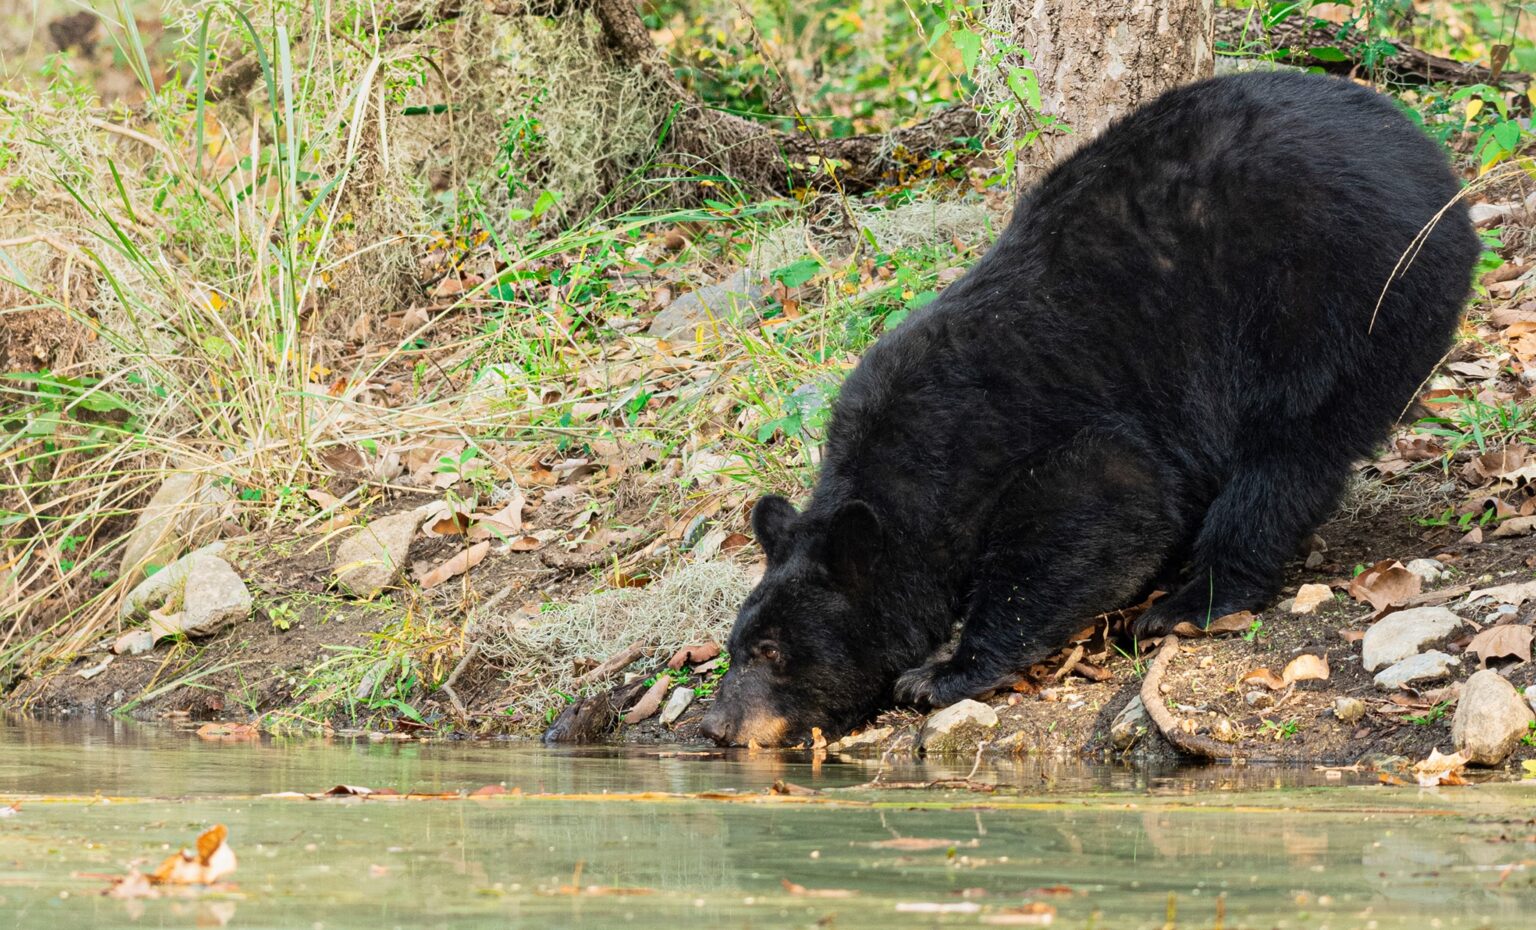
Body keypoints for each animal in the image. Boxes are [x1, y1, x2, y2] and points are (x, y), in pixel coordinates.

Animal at [698, 71, 1480, 748]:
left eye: (771, 652)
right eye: (736, 646)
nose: (717, 728)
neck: (913, 473)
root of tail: (1433, 166)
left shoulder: (1013, 429)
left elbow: (1102, 509)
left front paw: (941, 672)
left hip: (1329, 296)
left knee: (1287, 456)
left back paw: (1190, 600)